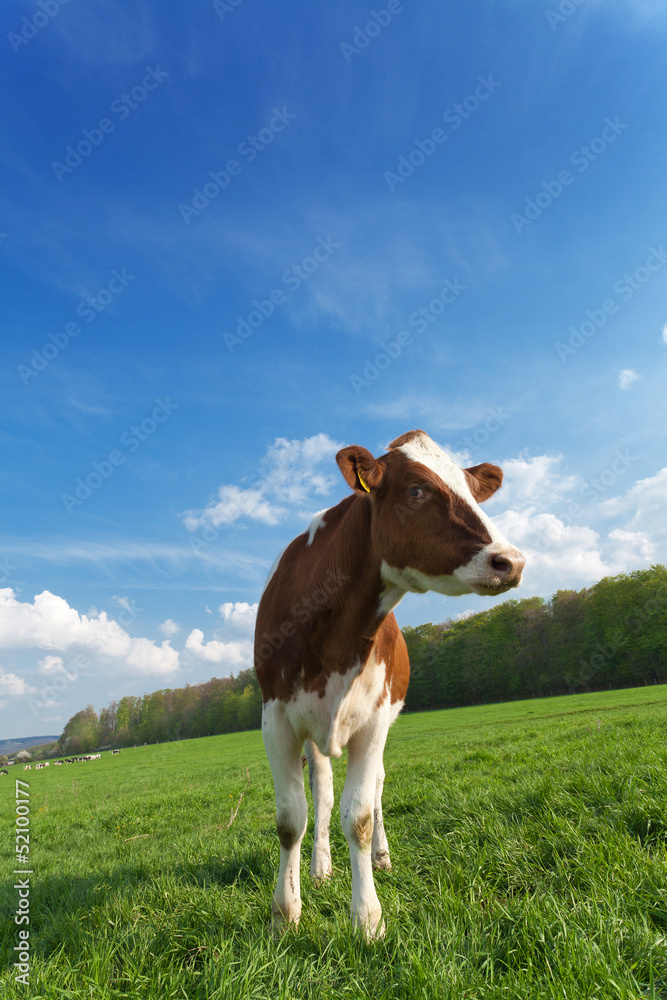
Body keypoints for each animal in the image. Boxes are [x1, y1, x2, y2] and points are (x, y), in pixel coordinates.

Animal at [255, 429, 525, 940]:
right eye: (417, 490)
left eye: (471, 490)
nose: (512, 561)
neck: (335, 637)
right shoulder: (275, 717)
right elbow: (291, 819)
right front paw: (285, 912)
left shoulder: (374, 718)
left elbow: (359, 815)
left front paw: (367, 918)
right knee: (322, 790)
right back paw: (319, 867)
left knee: (376, 787)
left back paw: (380, 855)